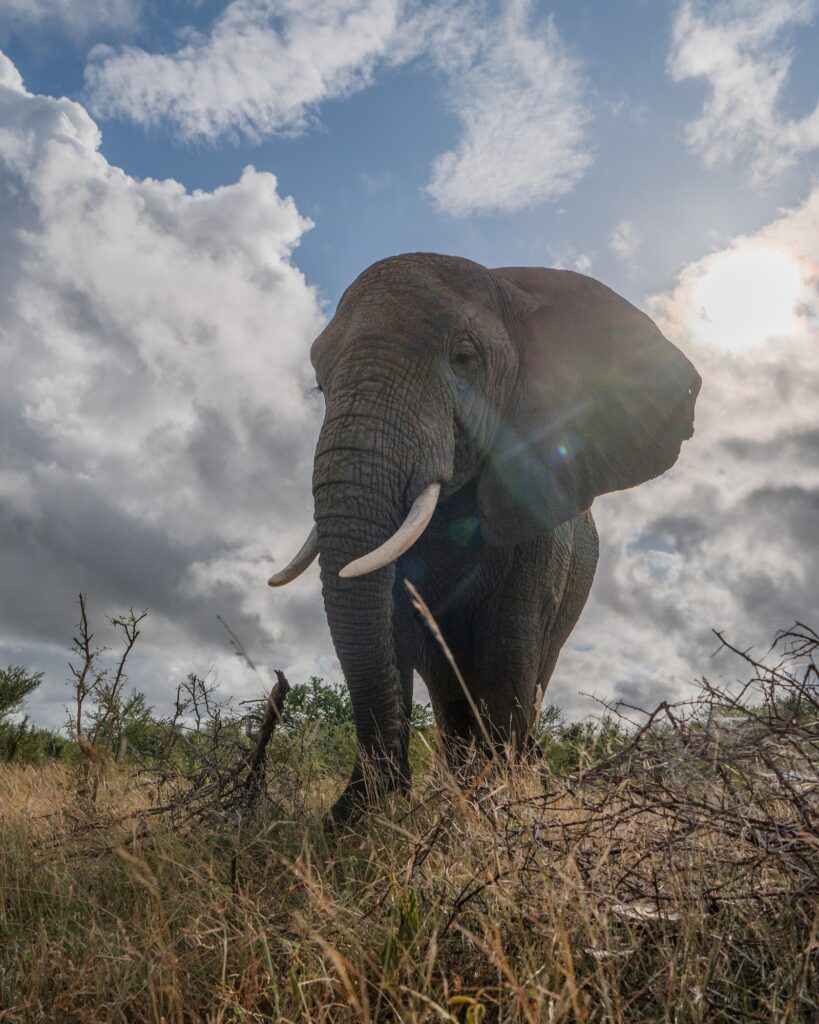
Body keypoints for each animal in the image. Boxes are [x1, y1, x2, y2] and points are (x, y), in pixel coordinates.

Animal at [269, 252, 700, 823]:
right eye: (320, 386)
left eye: (464, 358)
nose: (343, 814)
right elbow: (392, 626)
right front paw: (368, 816)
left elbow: (506, 644)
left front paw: (503, 803)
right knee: (449, 692)